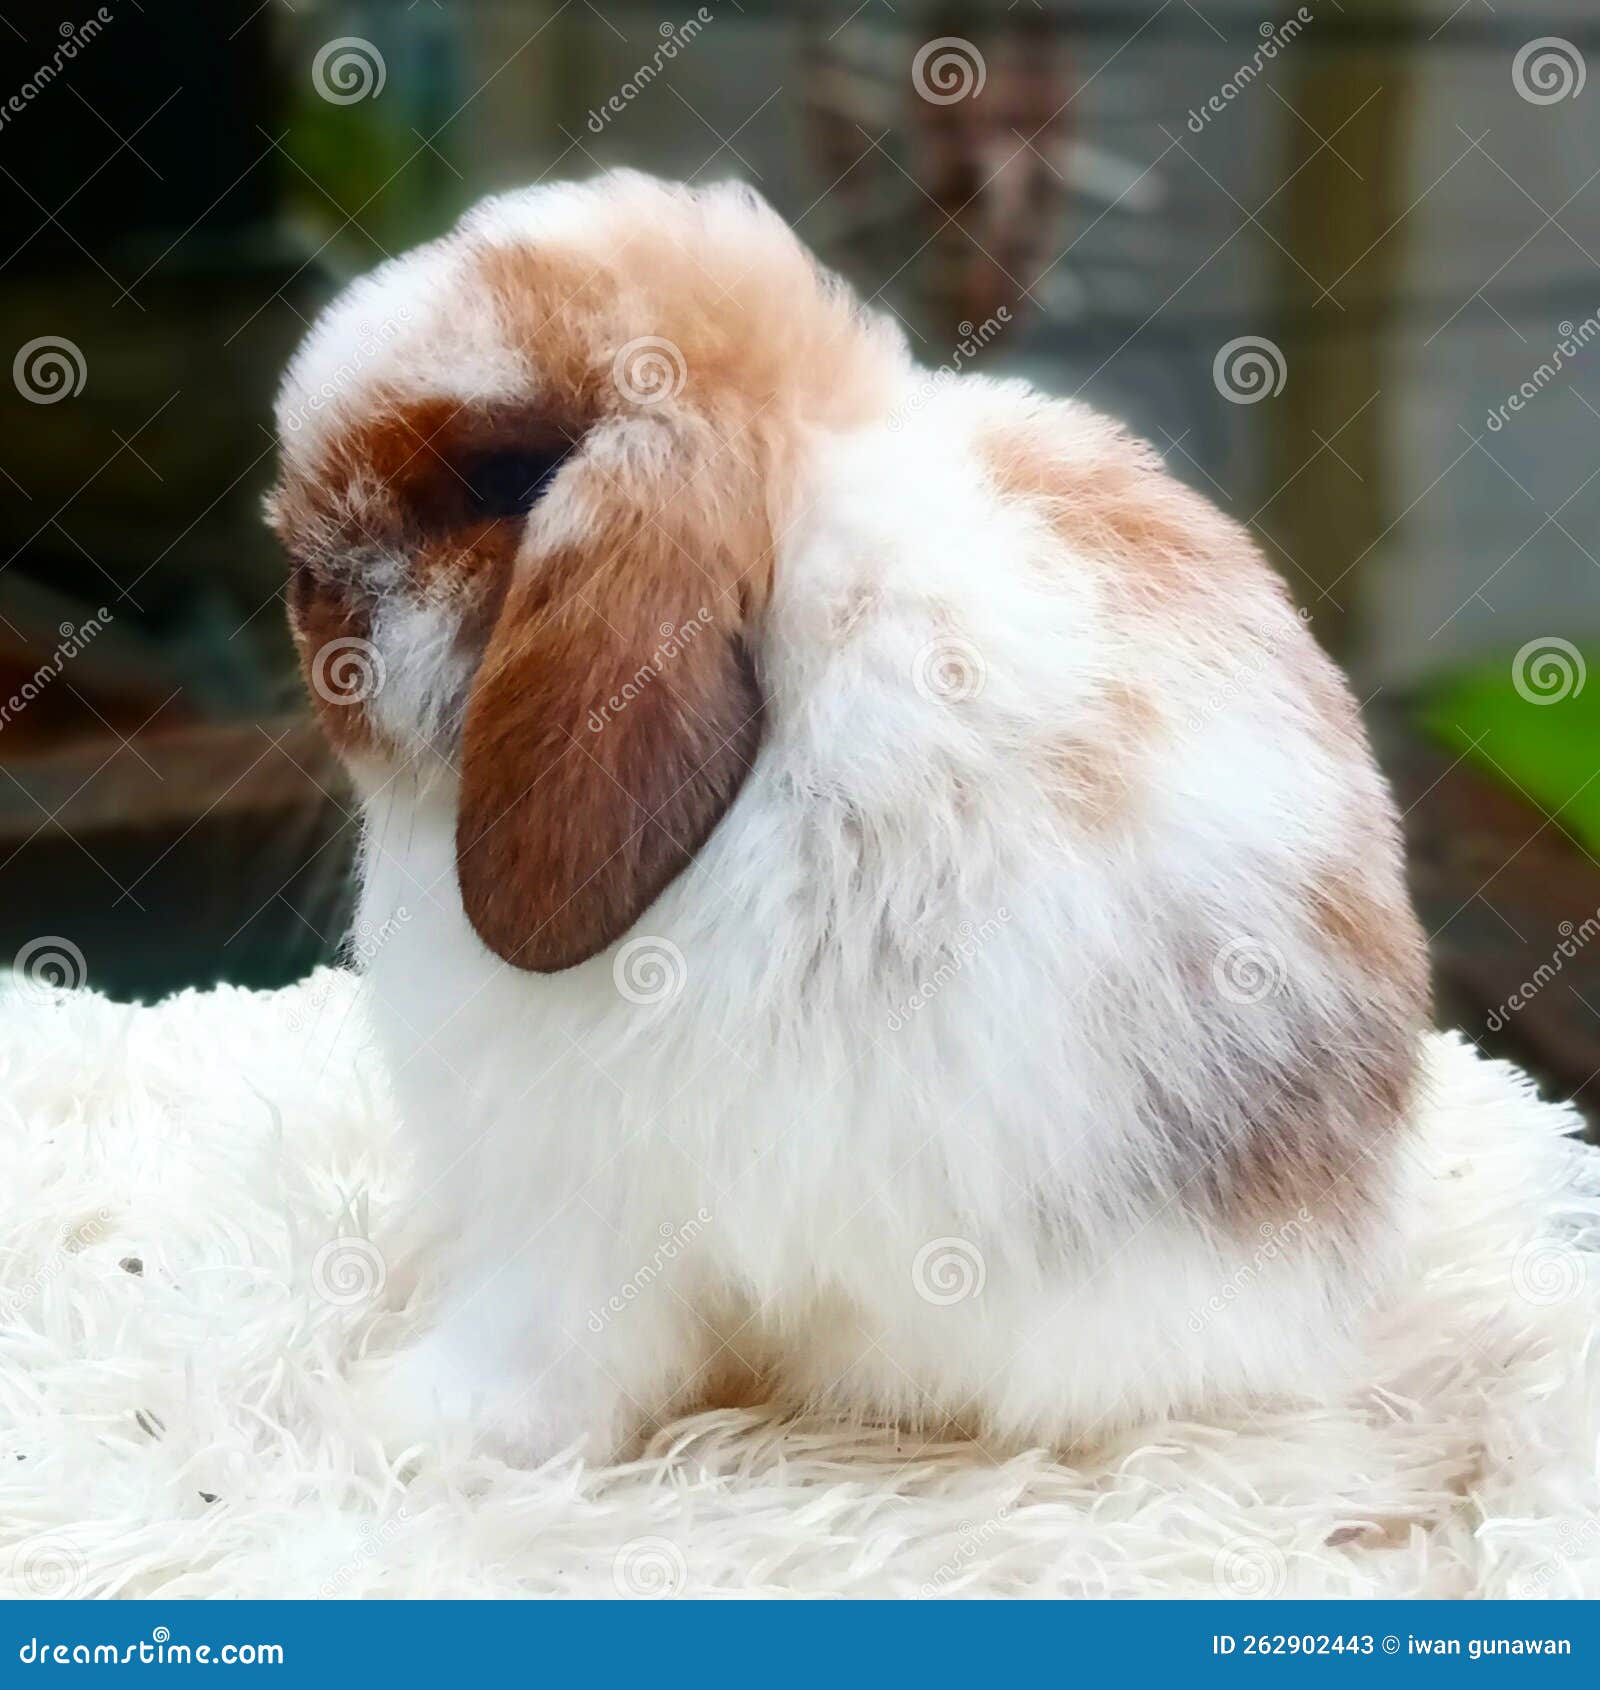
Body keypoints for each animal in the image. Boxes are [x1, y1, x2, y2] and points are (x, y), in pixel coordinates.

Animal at [267, 171, 1430, 1465]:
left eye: (502, 479)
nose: (301, 585)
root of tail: (1323, 1293)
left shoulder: (580, 1197)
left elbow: (540, 1348)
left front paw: (385, 1417)